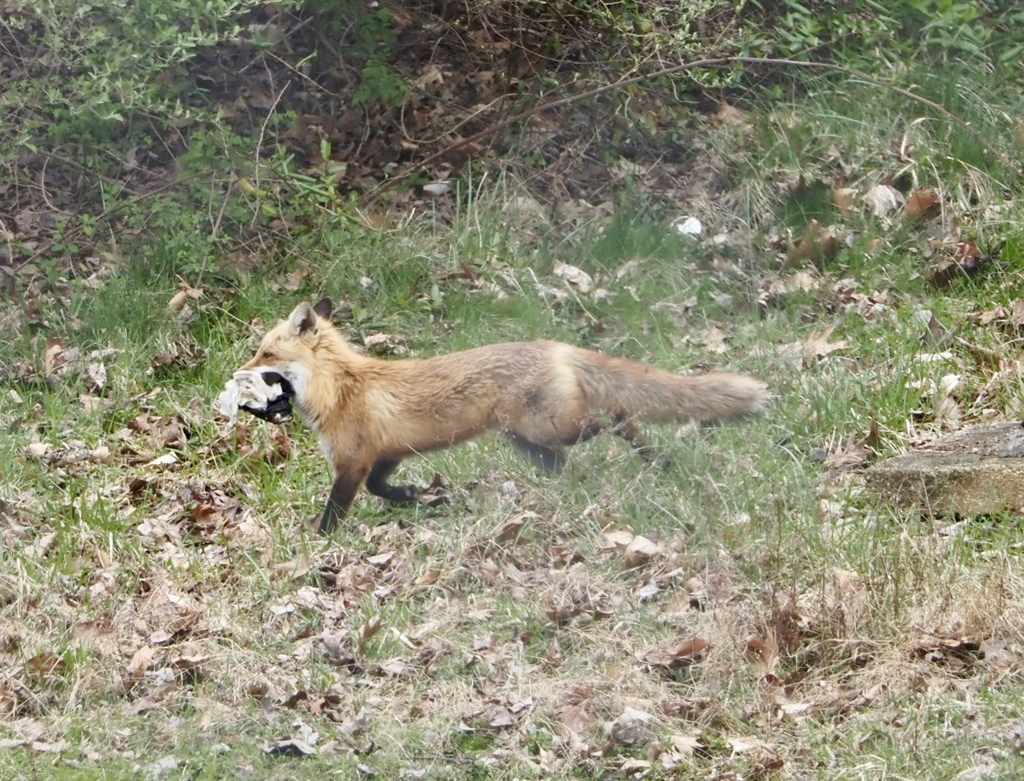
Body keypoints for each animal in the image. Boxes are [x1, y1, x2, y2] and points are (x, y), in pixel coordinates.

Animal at [235, 298, 768, 535]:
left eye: (265, 353)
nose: (237, 371)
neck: (340, 388)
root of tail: (554, 345)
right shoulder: (387, 455)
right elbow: (383, 489)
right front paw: (421, 498)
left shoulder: (353, 462)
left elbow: (338, 508)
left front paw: (319, 541)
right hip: (530, 443)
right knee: (577, 458)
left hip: (551, 428)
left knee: (616, 414)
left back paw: (650, 456)